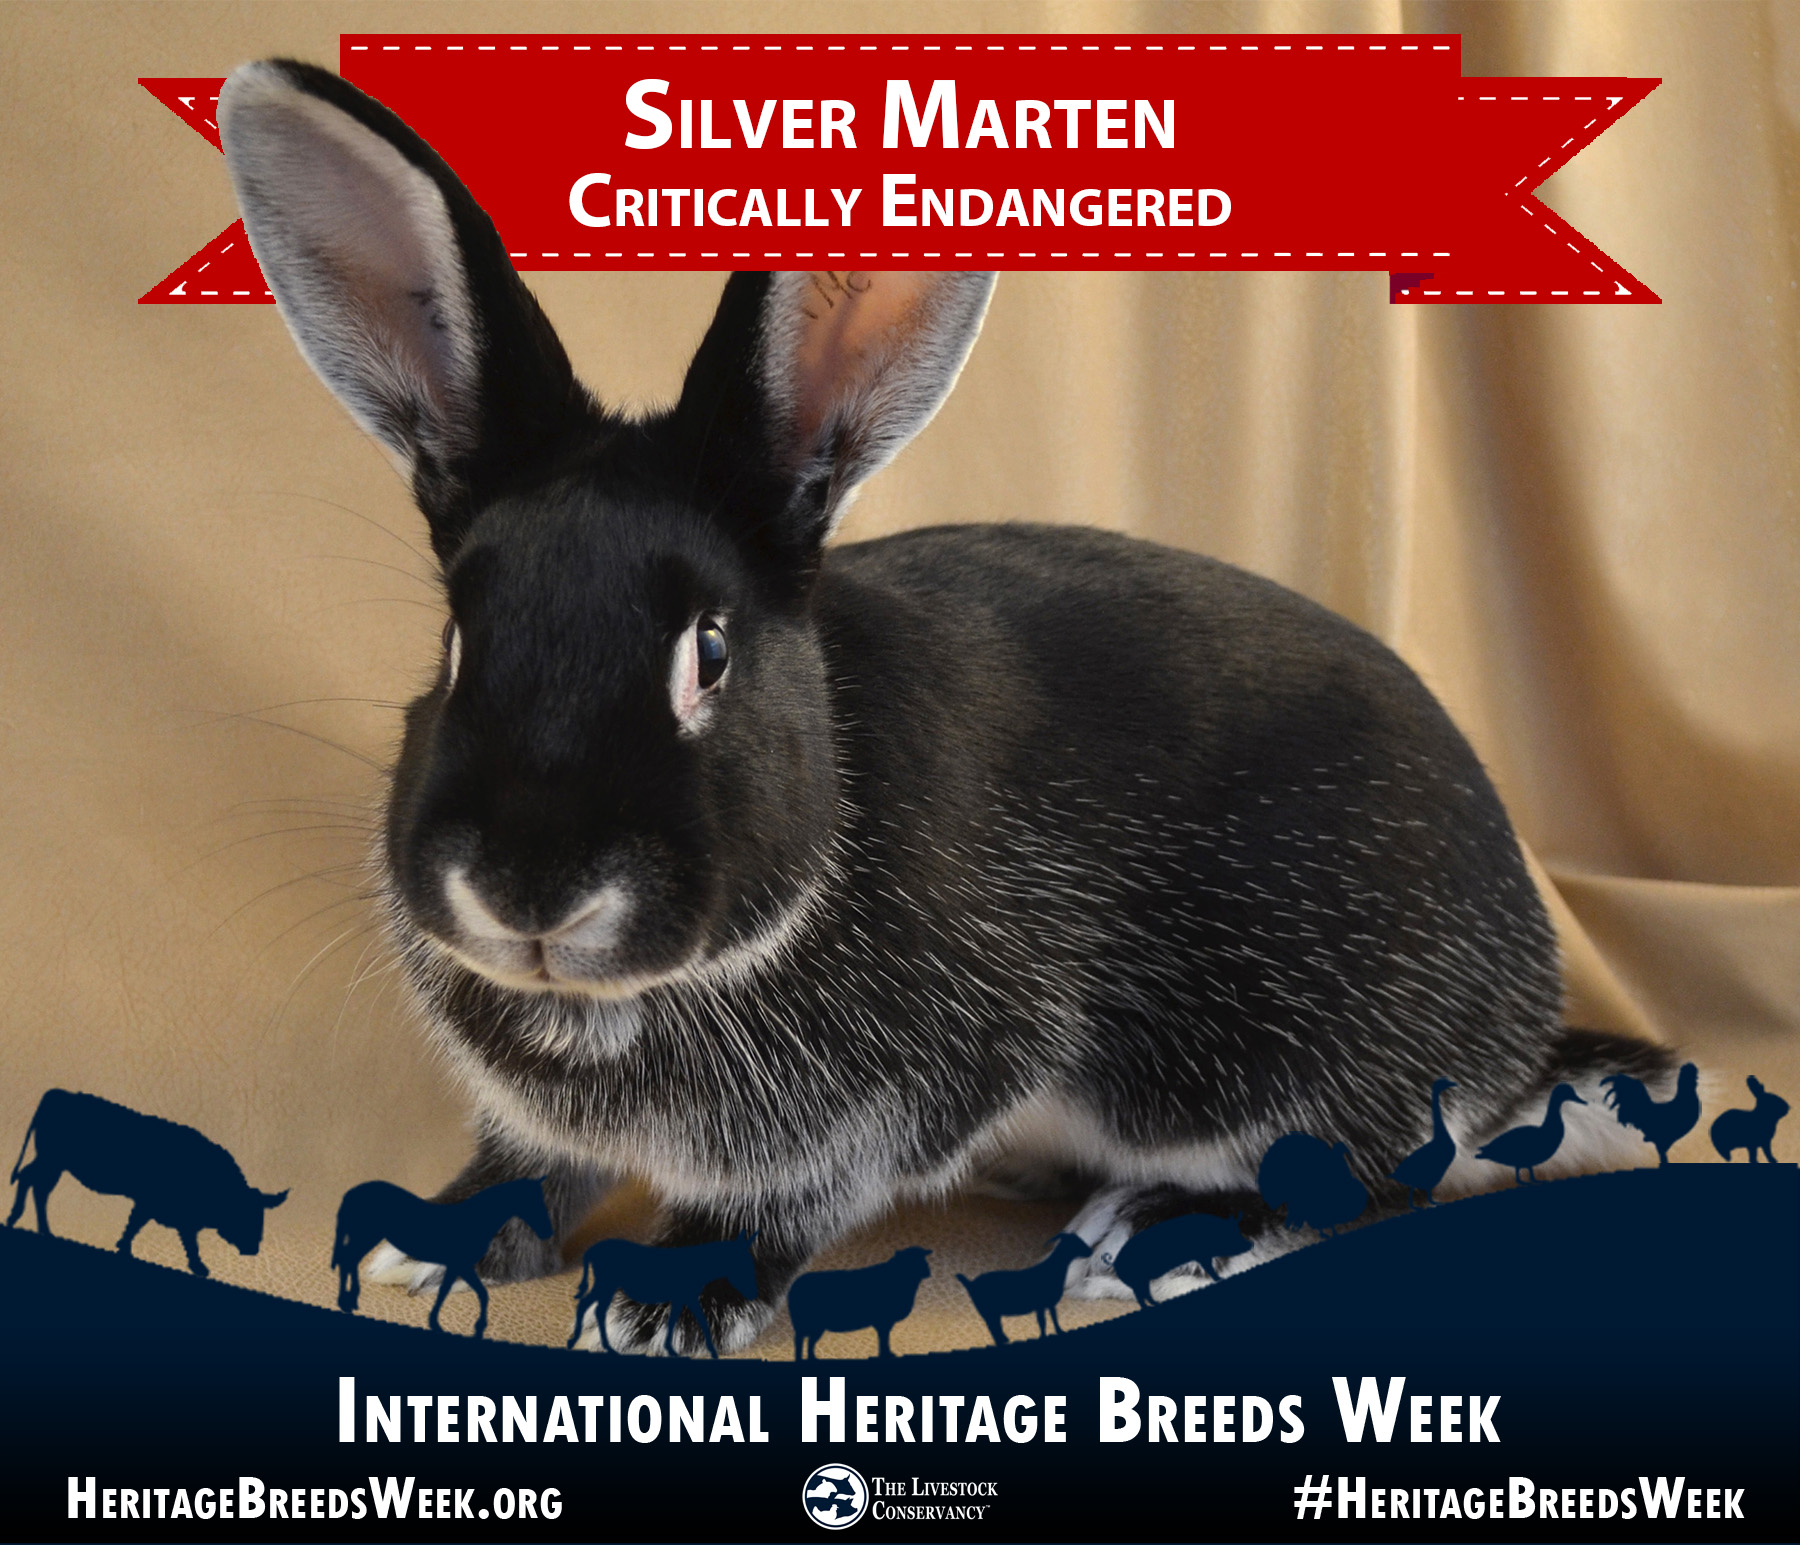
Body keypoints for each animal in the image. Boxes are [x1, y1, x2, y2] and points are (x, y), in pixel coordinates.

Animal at [218, 59, 1675, 1353]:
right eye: (459, 638)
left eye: (711, 652)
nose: (528, 890)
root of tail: (1516, 1036)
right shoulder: (553, 1118)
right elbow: (532, 1158)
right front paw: (430, 1238)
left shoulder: (906, 1092)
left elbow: (794, 1199)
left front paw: (671, 1302)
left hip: (1292, 1048)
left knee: (1357, 1177)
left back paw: (1151, 1233)